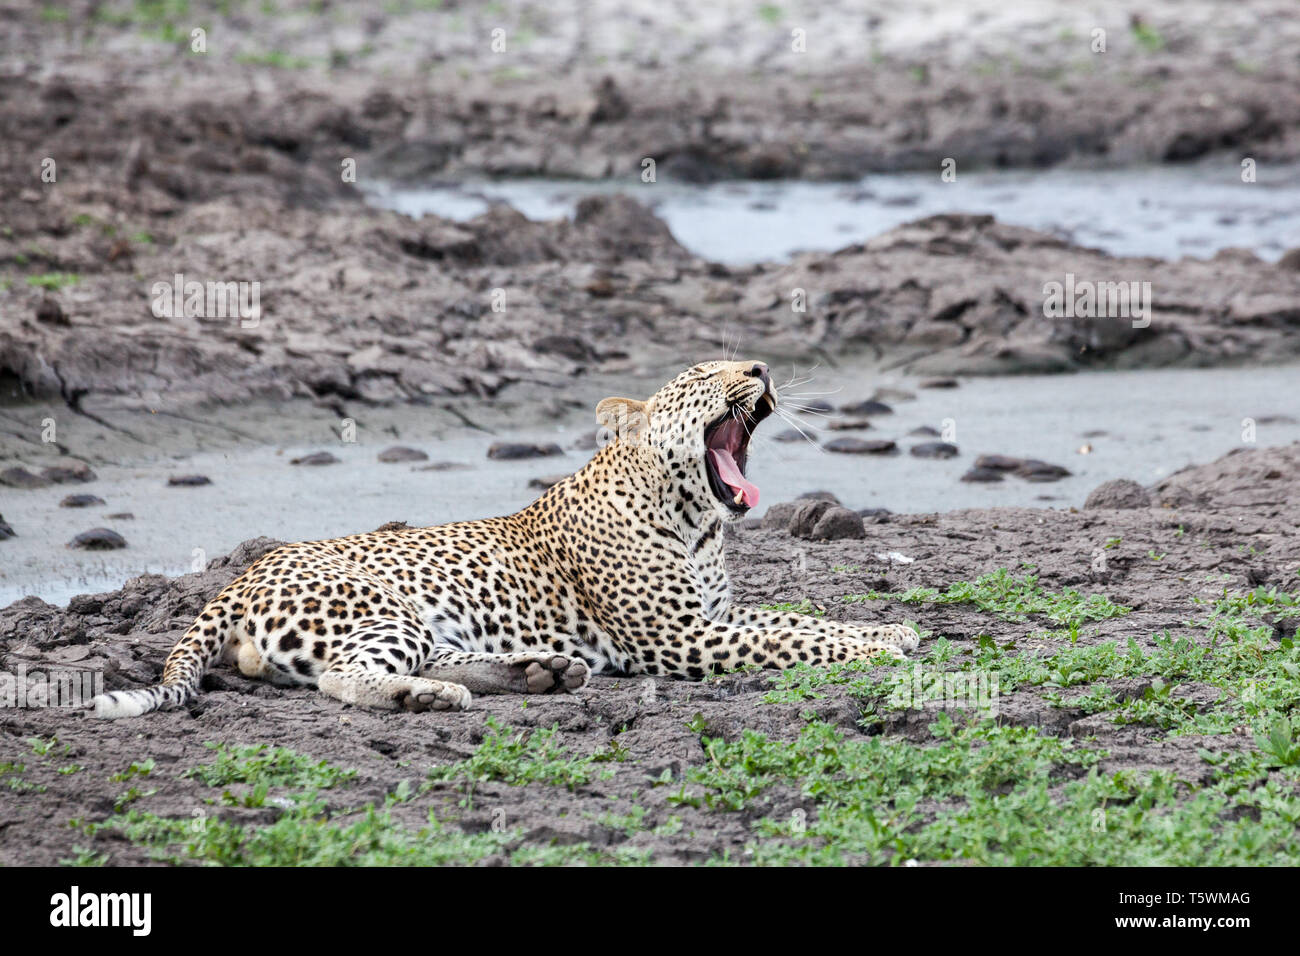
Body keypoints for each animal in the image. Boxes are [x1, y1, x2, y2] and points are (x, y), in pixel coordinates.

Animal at [91, 359, 918, 718]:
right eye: (703, 374)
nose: (760, 366)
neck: (694, 520)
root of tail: (234, 582)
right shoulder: (678, 638)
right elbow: (791, 637)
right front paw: (881, 646)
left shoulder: (709, 617)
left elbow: (798, 619)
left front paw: (887, 628)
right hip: (381, 607)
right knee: (345, 678)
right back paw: (426, 696)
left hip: (423, 623)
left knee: (439, 659)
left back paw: (538, 672)